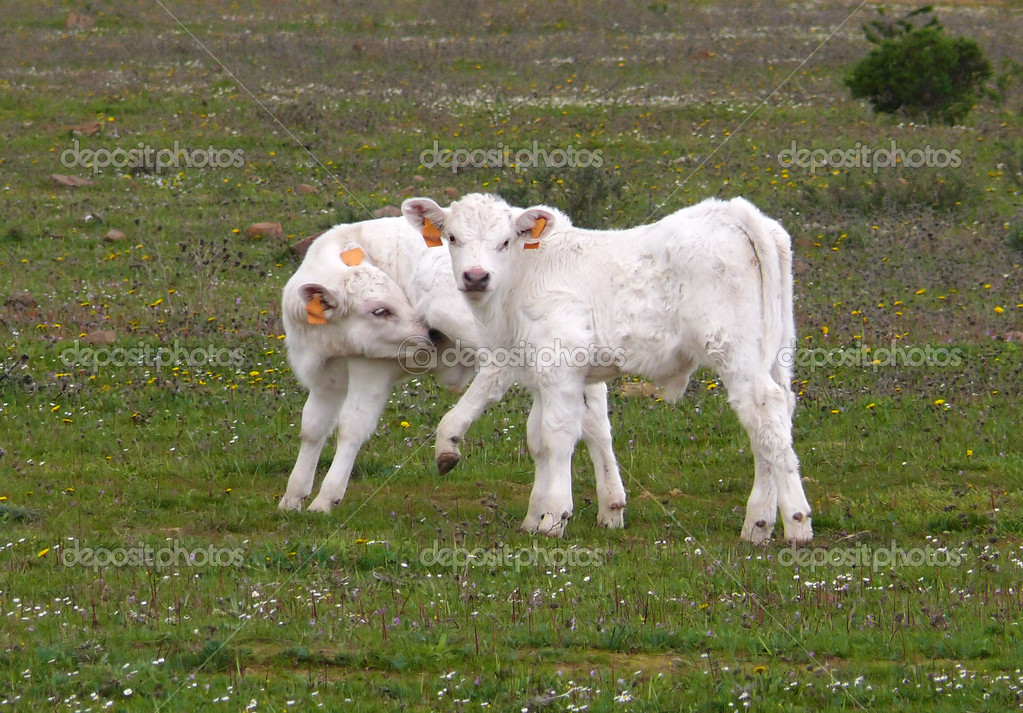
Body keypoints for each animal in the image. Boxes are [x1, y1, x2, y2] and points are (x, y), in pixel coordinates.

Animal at [402, 193, 812, 544]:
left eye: (504, 242)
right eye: (452, 237)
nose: (475, 276)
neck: (522, 279)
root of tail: (731, 211)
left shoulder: (560, 362)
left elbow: (557, 435)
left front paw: (554, 516)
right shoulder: (539, 370)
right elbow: (539, 438)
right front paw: (535, 516)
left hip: (734, 350)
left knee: (764, 411)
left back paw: (796, 523)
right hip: (775, 350)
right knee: (774, 416)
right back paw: (759, 524)